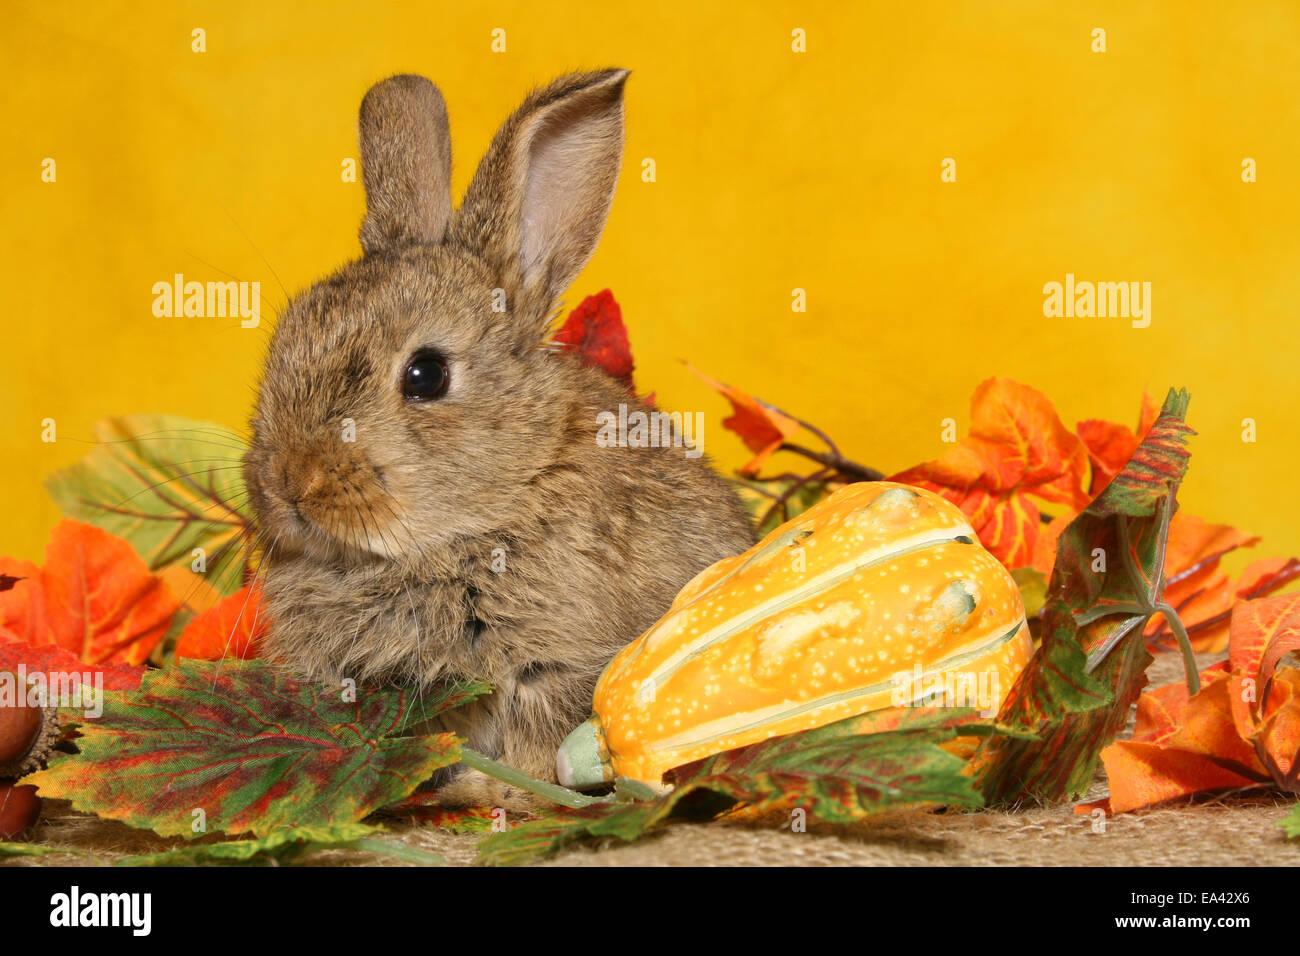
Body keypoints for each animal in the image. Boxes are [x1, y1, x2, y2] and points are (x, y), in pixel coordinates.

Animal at [242, 69, 757, 810]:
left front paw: (496, 792)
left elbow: (543, 743)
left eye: (426, 375)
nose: (288, 482)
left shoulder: (559, 660)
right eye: (286, 341)